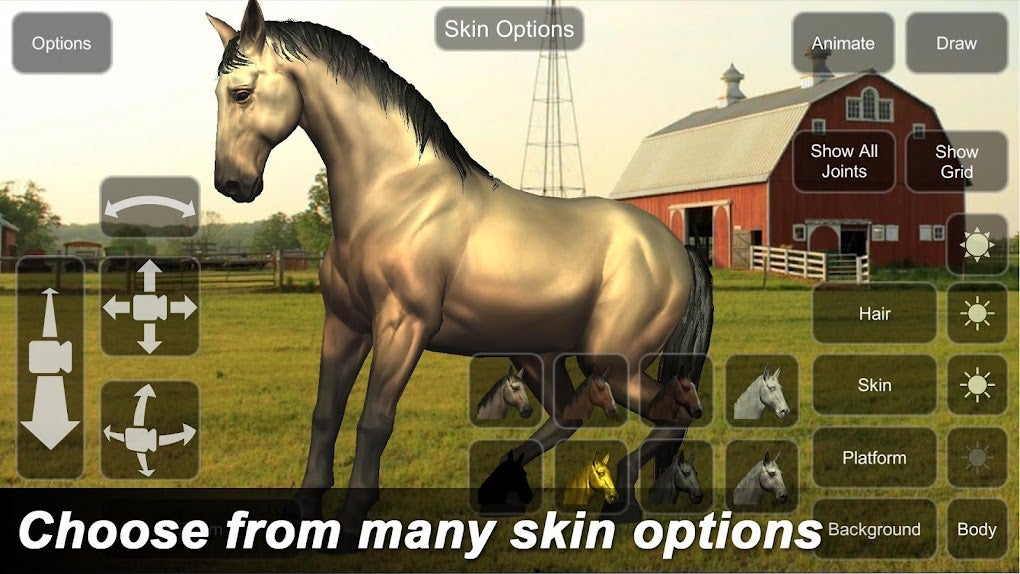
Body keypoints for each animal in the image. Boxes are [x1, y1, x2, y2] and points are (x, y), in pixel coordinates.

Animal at [206, 0, 713, 534]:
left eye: (241, 93)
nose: (232, 183)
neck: (395, 196)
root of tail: (677, 249)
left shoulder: (403, 327)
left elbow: (374, 420)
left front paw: (353, 517)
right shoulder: (345, 323)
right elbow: (325, 414)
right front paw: (303, 509)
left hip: (612, 359)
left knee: (674, 409)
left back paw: (620, 499)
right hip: (541, 355)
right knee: (577, 413)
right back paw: (505, 485)